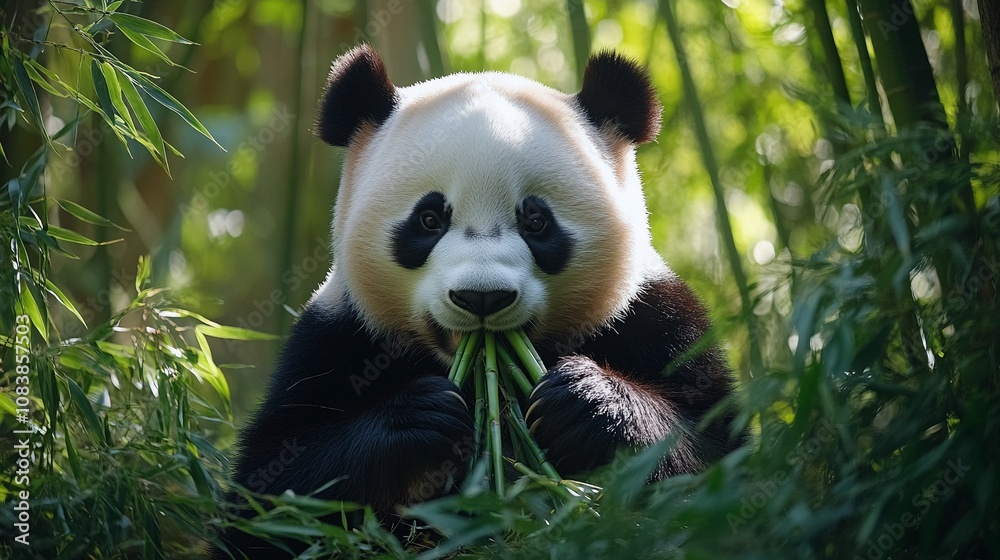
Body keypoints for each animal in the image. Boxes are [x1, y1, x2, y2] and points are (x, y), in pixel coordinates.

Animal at [214, 44, 743, 557]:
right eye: (429, 219)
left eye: (536, 221)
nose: (482, 297)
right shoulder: (337, 337)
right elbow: (274, 494)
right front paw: (422, 418)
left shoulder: (655, 321)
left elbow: (714, 455)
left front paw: (586, 401)